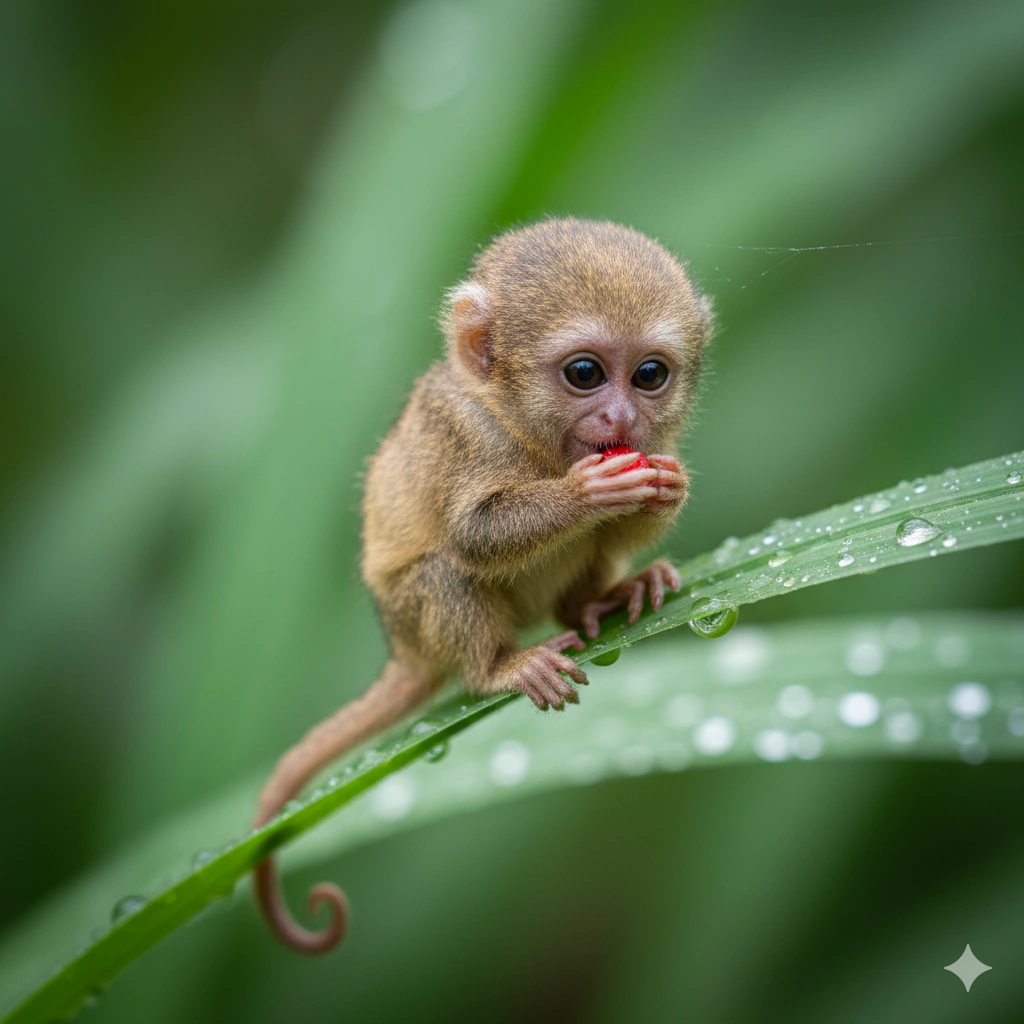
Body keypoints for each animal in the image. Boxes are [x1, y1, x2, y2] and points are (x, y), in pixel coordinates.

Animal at [252, 217, 712, 954]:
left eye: (649, 375)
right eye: (585, 374)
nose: (622, 421)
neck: (529, 435)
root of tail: (406, 651)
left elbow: (615, 528)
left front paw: (666, 489)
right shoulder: (468, 433)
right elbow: (472, 538)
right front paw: (585, 495)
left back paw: (600, 599)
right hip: (416, 616)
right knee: (443, 570)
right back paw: (497, 668)